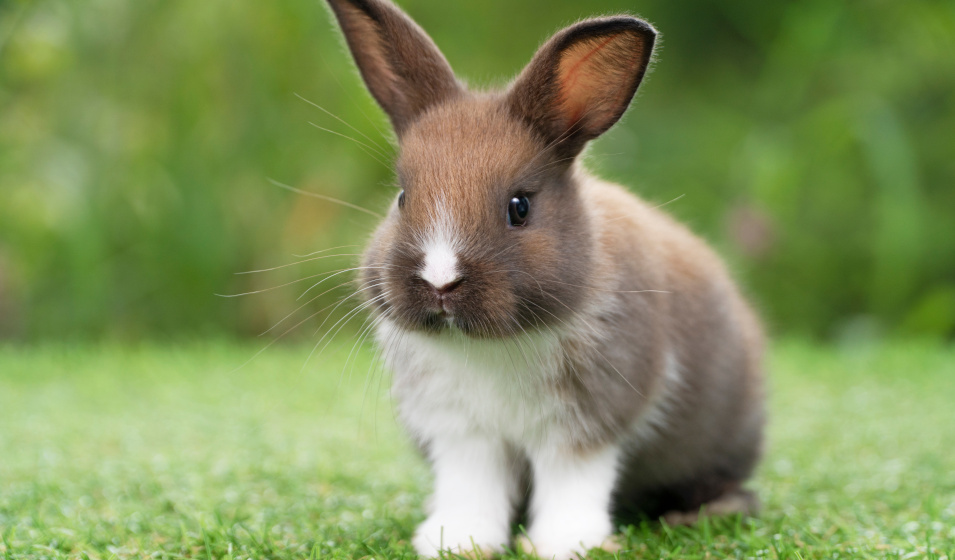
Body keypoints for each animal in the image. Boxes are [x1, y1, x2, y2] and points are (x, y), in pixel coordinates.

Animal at [323, 0, 766, 558]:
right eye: (402, 198)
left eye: (520, 207)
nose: (440, 282)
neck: (487, 347)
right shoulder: (461, 431)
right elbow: (472, 484)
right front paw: (457, 541)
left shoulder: (588, 419)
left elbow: (573, 480)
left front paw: (564, 543)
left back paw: (702, 513)